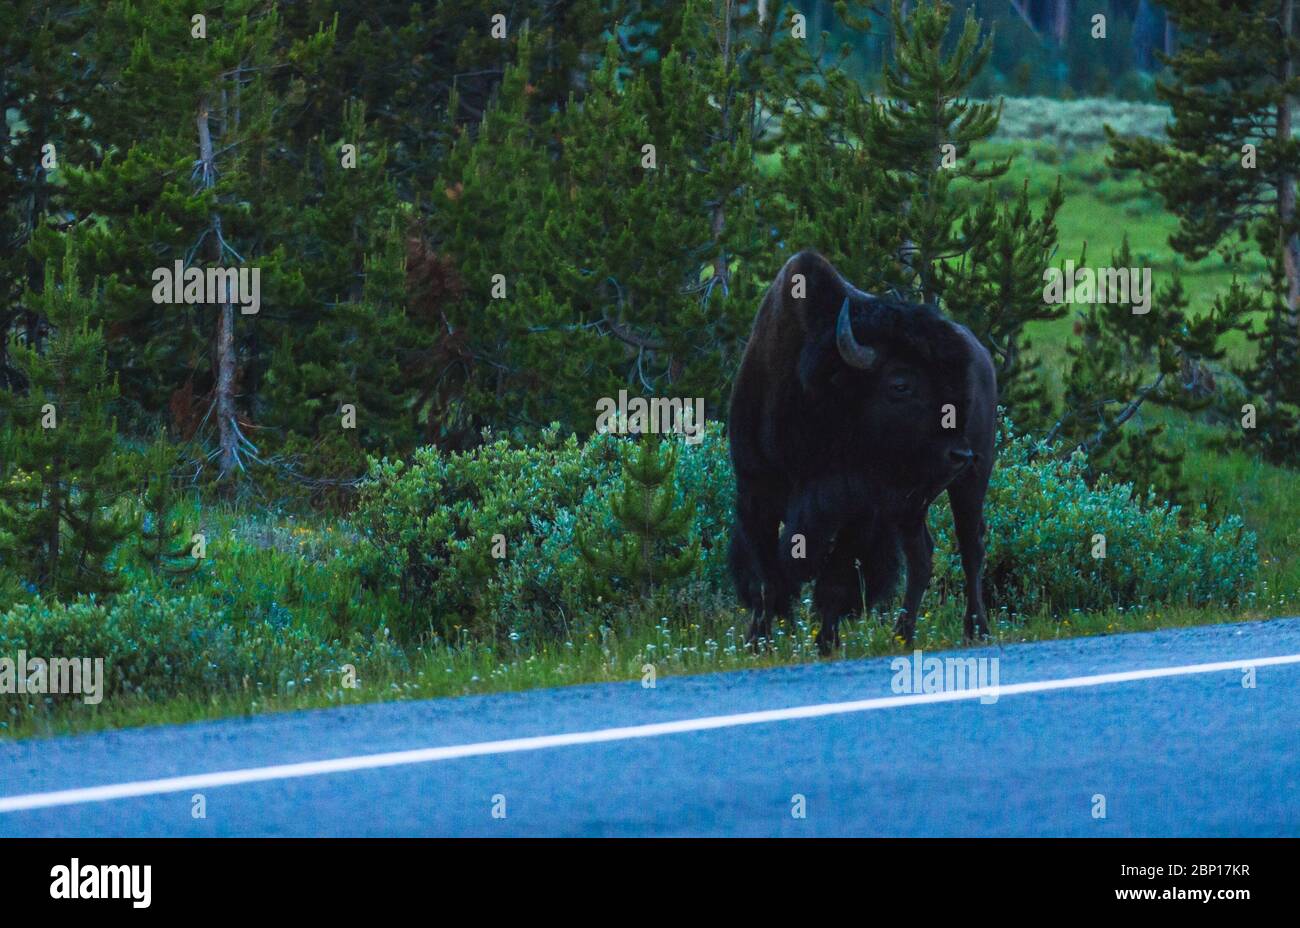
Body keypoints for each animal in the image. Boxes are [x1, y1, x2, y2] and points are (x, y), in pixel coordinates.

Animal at [728, 250, 997, 653]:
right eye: (900, 383)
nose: (959, 456)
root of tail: (985, 359)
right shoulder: (756, 491)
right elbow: (766, 574)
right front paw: (759, 641)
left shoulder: (861, 510)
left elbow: (836, 579)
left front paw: (826, 643)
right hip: (913, 506)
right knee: (922, 555)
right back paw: (903, 634)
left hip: (970, 484)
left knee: (970, 547)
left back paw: (976, 630)